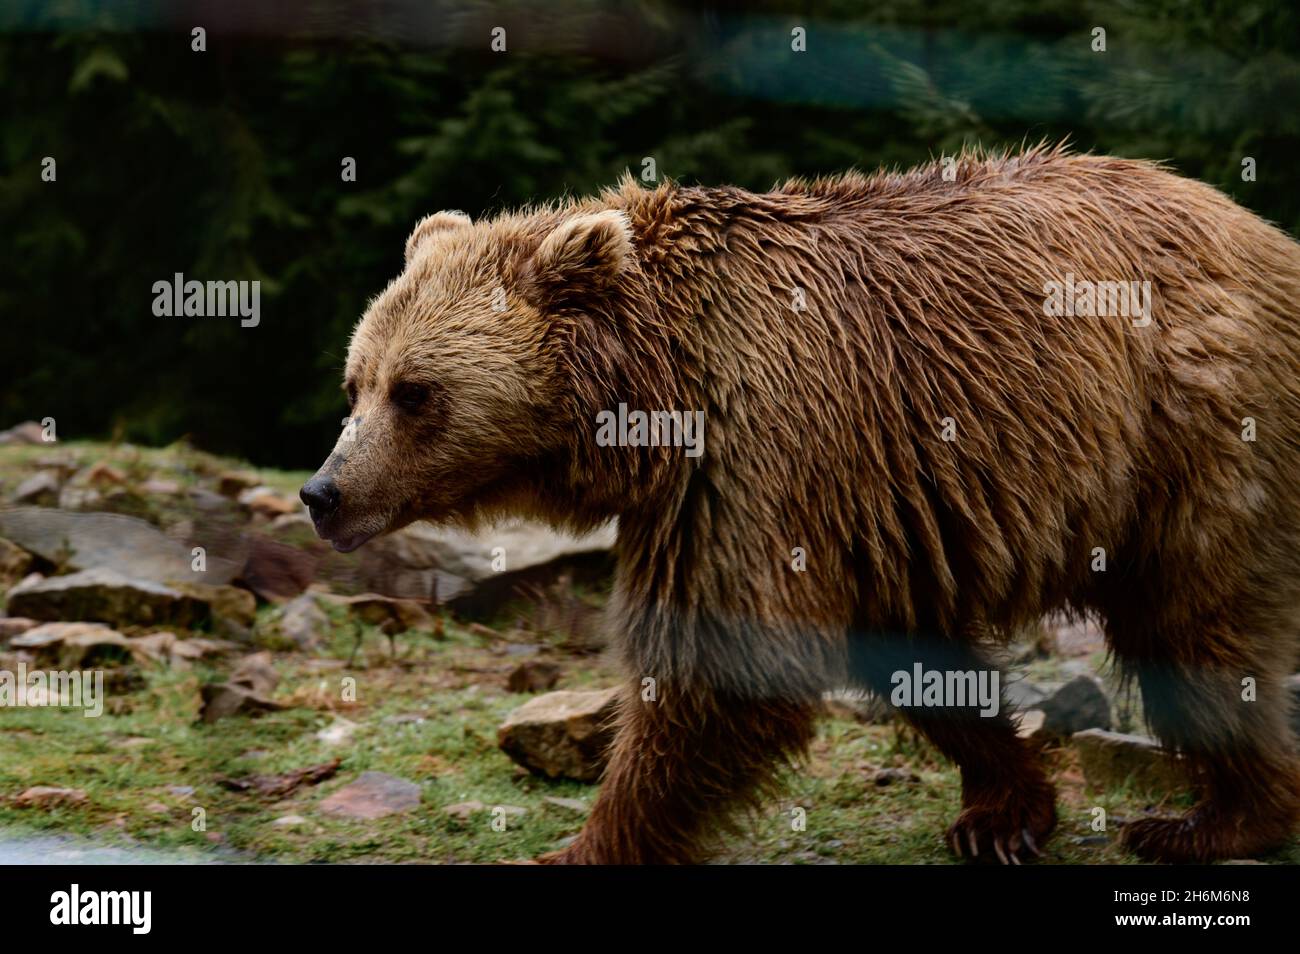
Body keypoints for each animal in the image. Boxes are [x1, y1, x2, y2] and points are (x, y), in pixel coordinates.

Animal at [301, 143, 1300, 864]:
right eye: (355, 384)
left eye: (416, 393)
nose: (324, 492)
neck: (649, 393)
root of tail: (1262, 231)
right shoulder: (872, 501)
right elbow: (906, 649)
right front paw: (1002, 808)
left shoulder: (752, 452)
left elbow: (716, 669)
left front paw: (583, 846)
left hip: (1192, 430)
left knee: (1191, 622)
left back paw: (1214, 821)